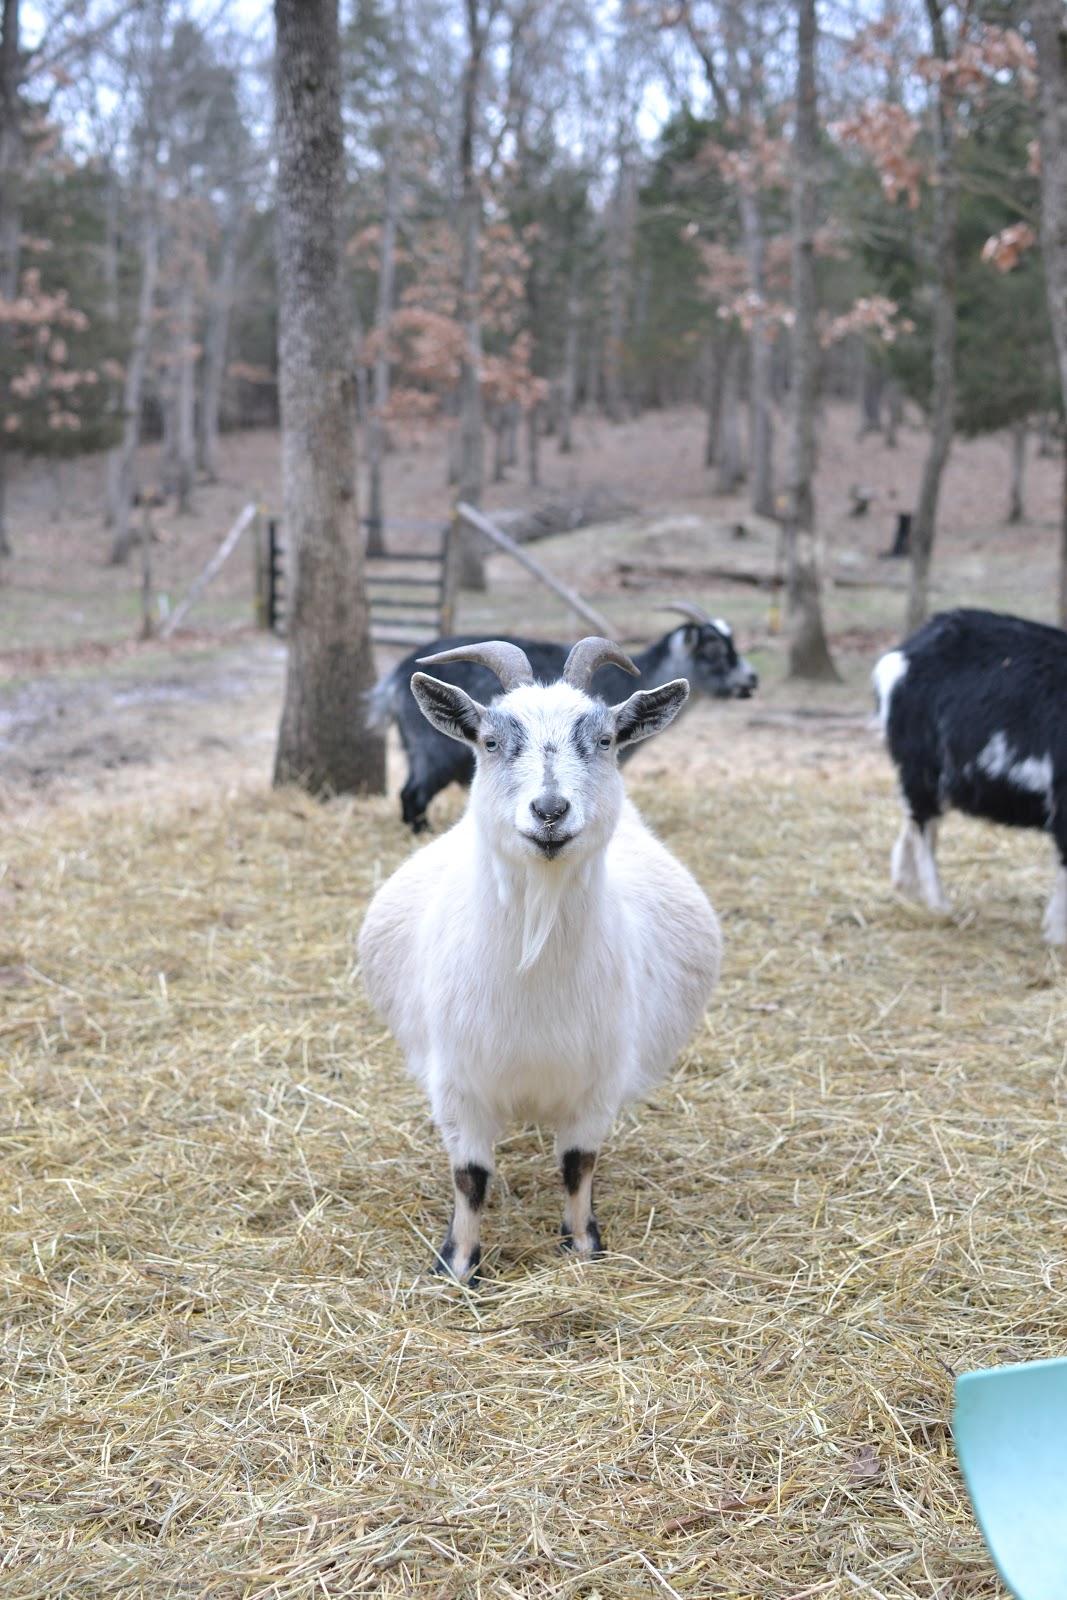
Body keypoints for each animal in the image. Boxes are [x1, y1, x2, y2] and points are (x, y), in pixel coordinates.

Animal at [358, 636, 722, 1280]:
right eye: (490, 741)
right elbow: (470, 1177)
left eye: (606, 740)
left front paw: (583, 1247)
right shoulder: (459, 1083)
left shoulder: (597, 1083)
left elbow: (578, 1167)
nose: (550, 811)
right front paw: (458, 1267)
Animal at [873, 607, 1067, 943]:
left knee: (916, 819)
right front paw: (1057, 934)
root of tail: (906, 651)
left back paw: (905, 884)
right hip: (921, 764)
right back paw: (938, 904)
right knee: (923, 826)